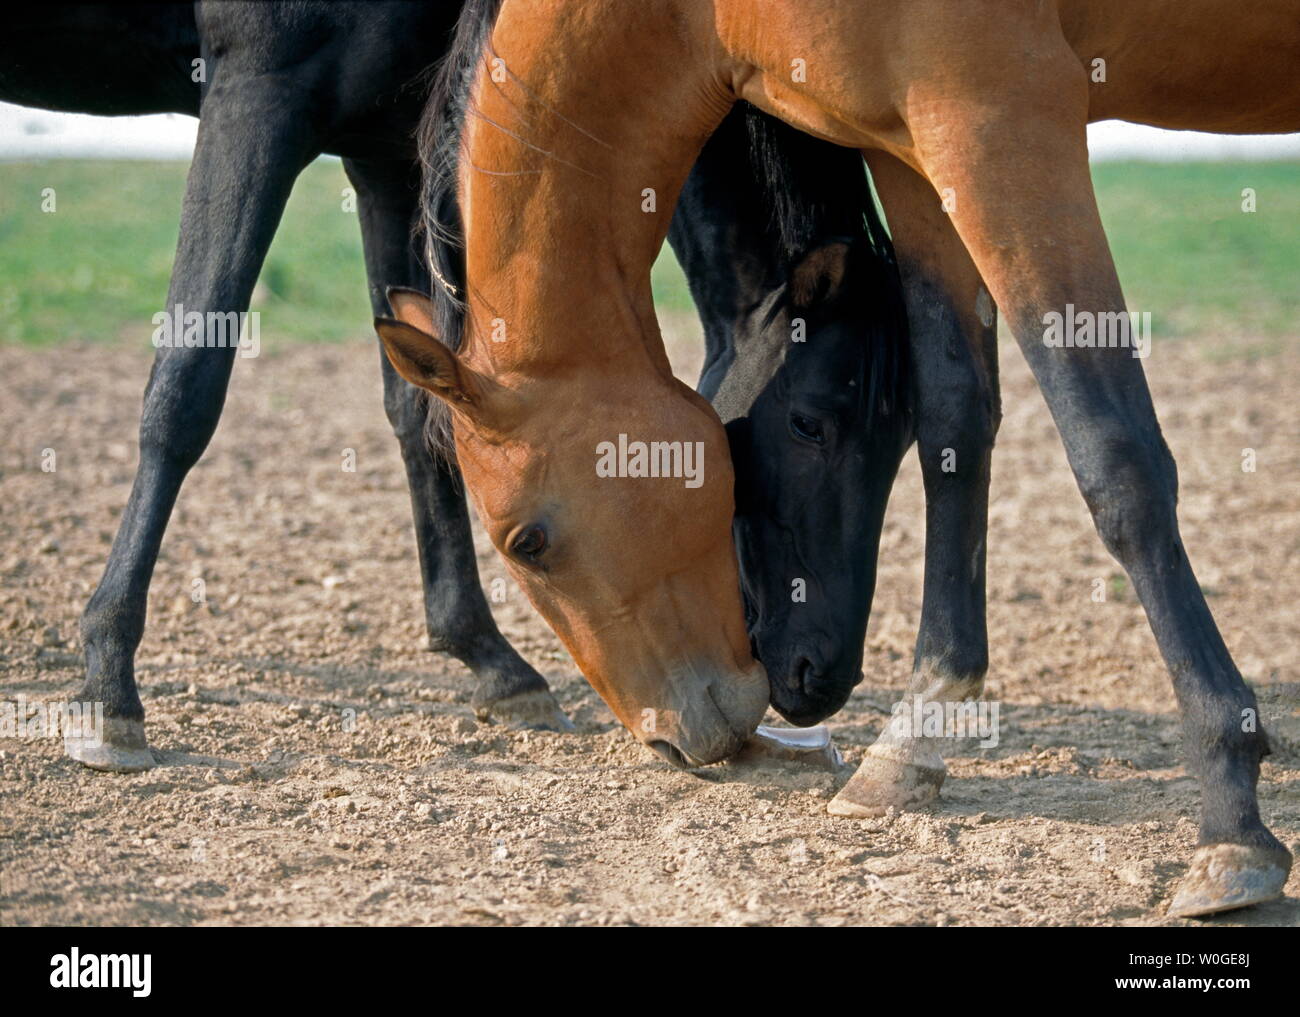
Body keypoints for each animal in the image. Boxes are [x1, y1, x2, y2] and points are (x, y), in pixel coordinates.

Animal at [3, 4, 913, 768]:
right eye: (808, 423)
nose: (822, 677)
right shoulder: (257, 88)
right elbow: (187, 384)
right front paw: (107, 680)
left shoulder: (379, 142)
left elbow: (417, 408)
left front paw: (492, 661)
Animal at [397, 0, 1295, 916]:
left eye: (527, 543)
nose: (678, 742)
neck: (702, 16)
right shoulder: (913, 148)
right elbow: (956, 413)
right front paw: (916, 732)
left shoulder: (1002, 120)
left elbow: (1114, 455)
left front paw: (1232, 815)